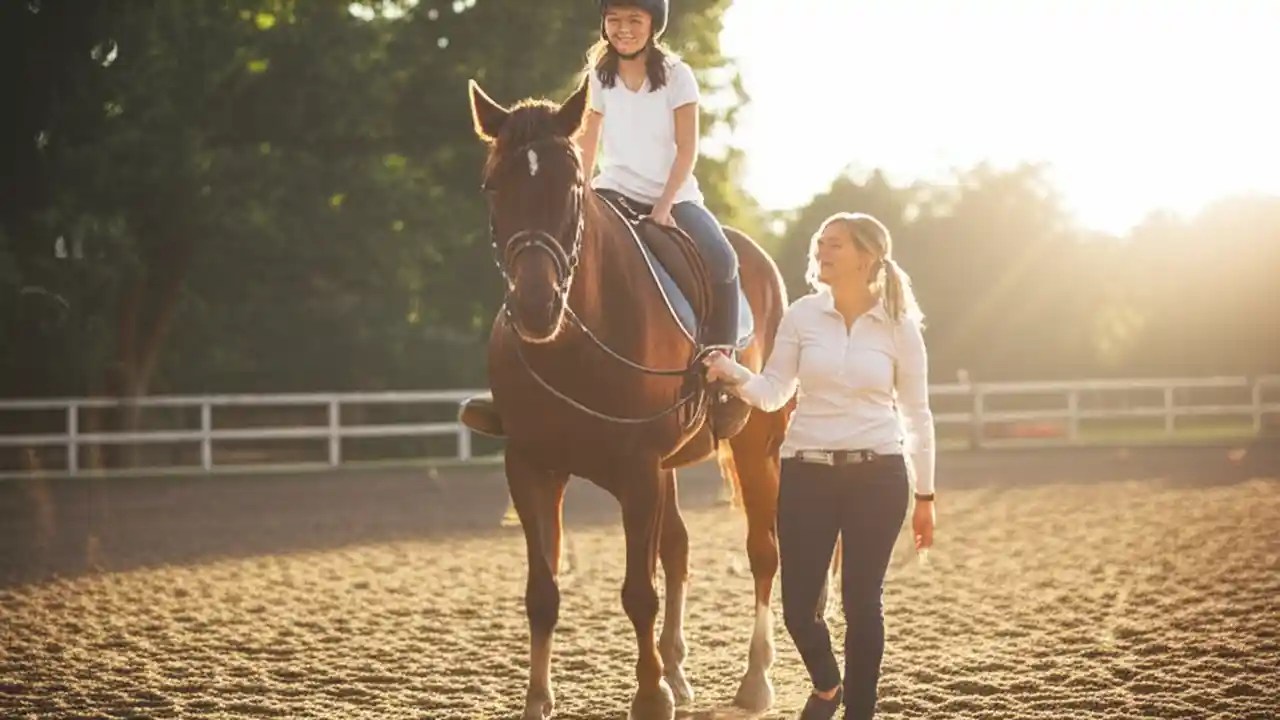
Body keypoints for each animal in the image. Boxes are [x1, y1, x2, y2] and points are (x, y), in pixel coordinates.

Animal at [465, 74, 794, 720]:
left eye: (571, 187)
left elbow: (639, 591)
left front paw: (650, 695)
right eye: (494, 185)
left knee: (762, 552)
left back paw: (754, 680)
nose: (536, 306)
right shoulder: (531, 466)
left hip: (753, 445)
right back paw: (680, 669)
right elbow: (543, 592)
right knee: (679, 549)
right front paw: (538, 698)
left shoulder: (638, 471)